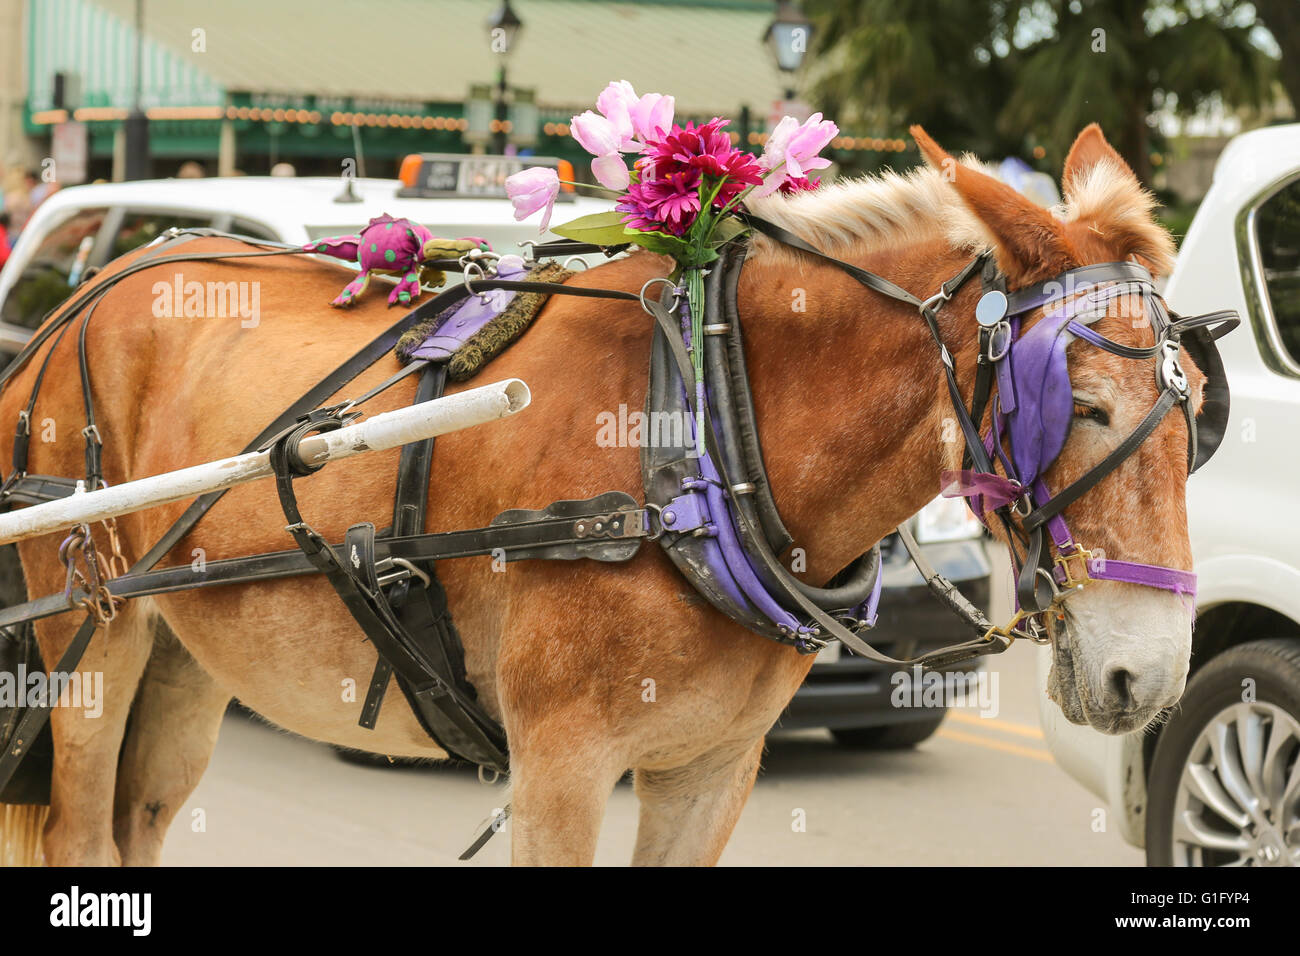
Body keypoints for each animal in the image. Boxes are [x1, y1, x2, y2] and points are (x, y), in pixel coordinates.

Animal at [0, 124, 1201, 866]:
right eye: (1087, 406)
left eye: (1198, 416)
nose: (1148, 675)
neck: (704, 437)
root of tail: (79, 297)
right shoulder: (562, 768)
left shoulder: (710, 772)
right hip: (89, 631)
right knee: (78, 832)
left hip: (186, 651)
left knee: (140, 821)